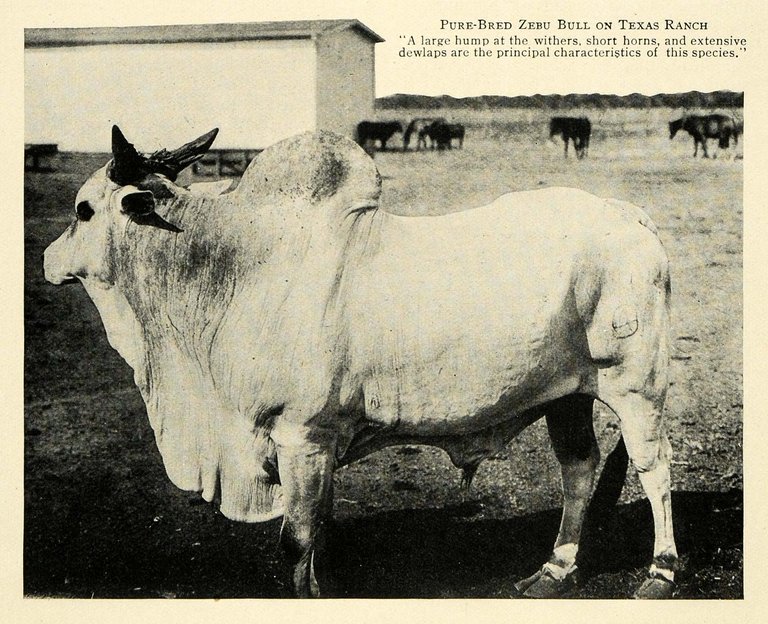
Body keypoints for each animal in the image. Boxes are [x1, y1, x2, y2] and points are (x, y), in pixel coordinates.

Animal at [44, 126, 678, 599]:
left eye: (83, 210)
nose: (48, 258)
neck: (235, 265)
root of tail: (629, 214)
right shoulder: (319, 442)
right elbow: (318, 533)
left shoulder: (300, 435)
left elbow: (296, 541)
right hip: (568, 393)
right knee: (579, 468)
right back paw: (555, 569)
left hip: (636, 386)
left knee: (656, 468)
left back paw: (661, 572)